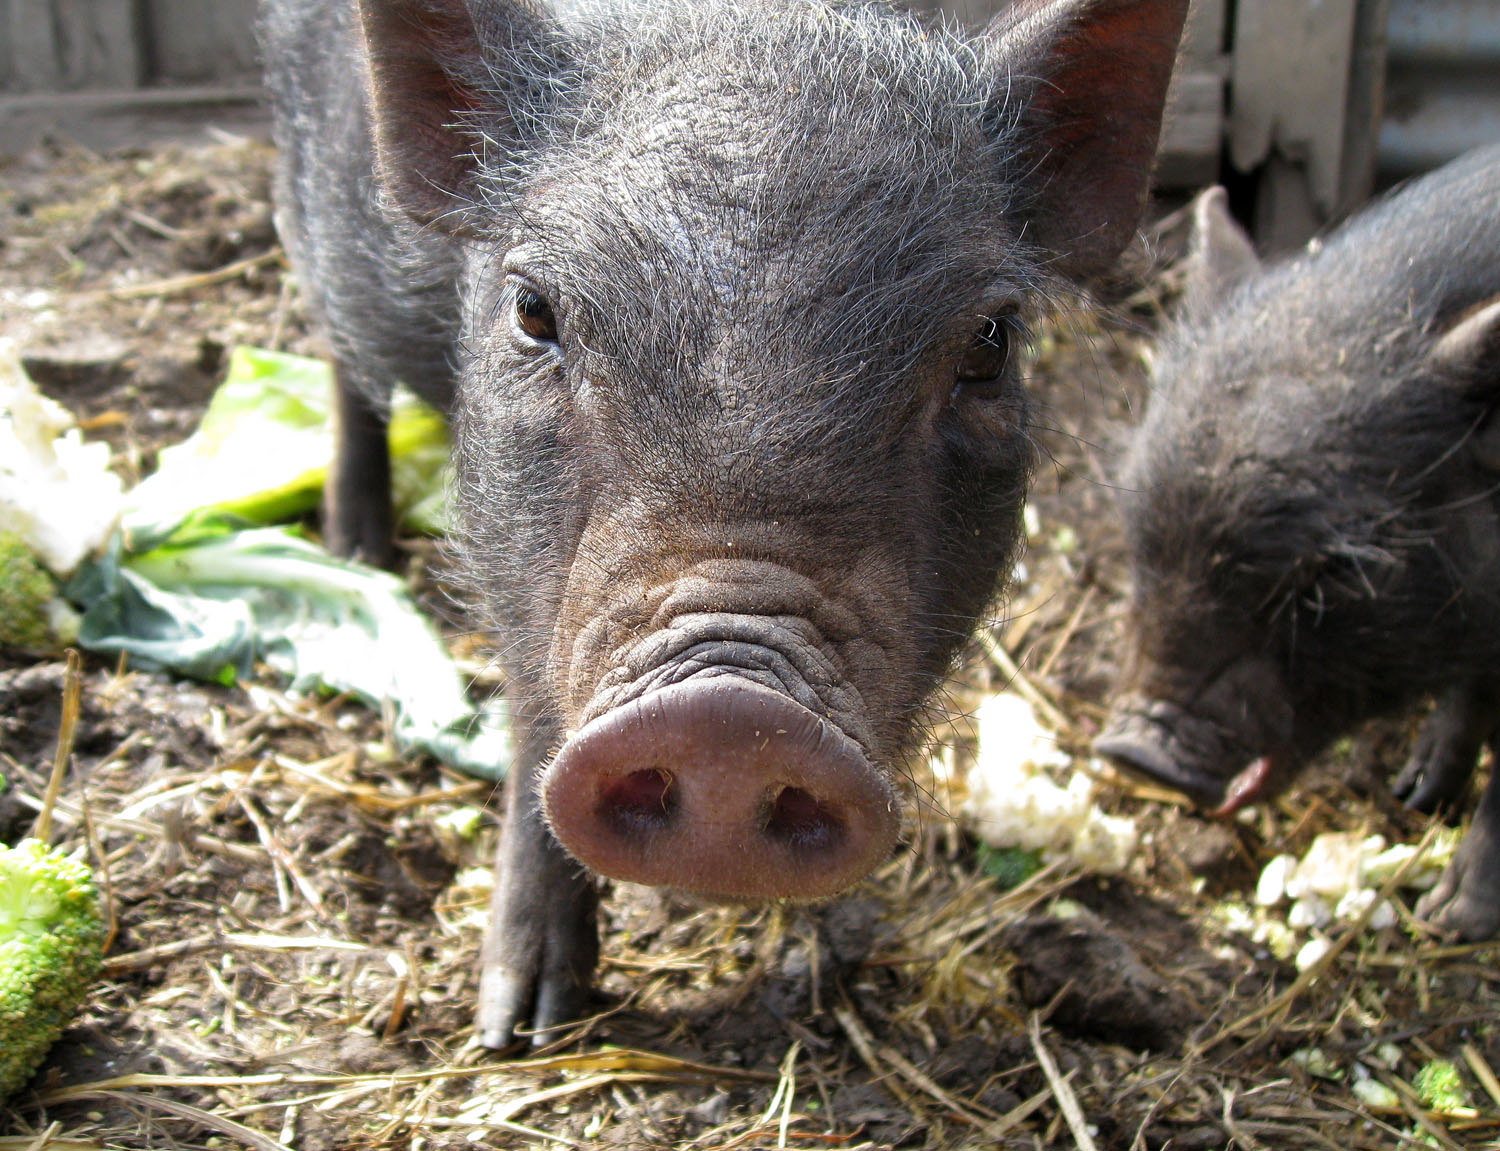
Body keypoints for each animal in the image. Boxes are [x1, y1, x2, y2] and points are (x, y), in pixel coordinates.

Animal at [261, 0, 1190, 1047]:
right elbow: (534, 731)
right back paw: (354, 547)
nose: (727, 714)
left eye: (988, 344)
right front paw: (519, 1028)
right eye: (533, 310)